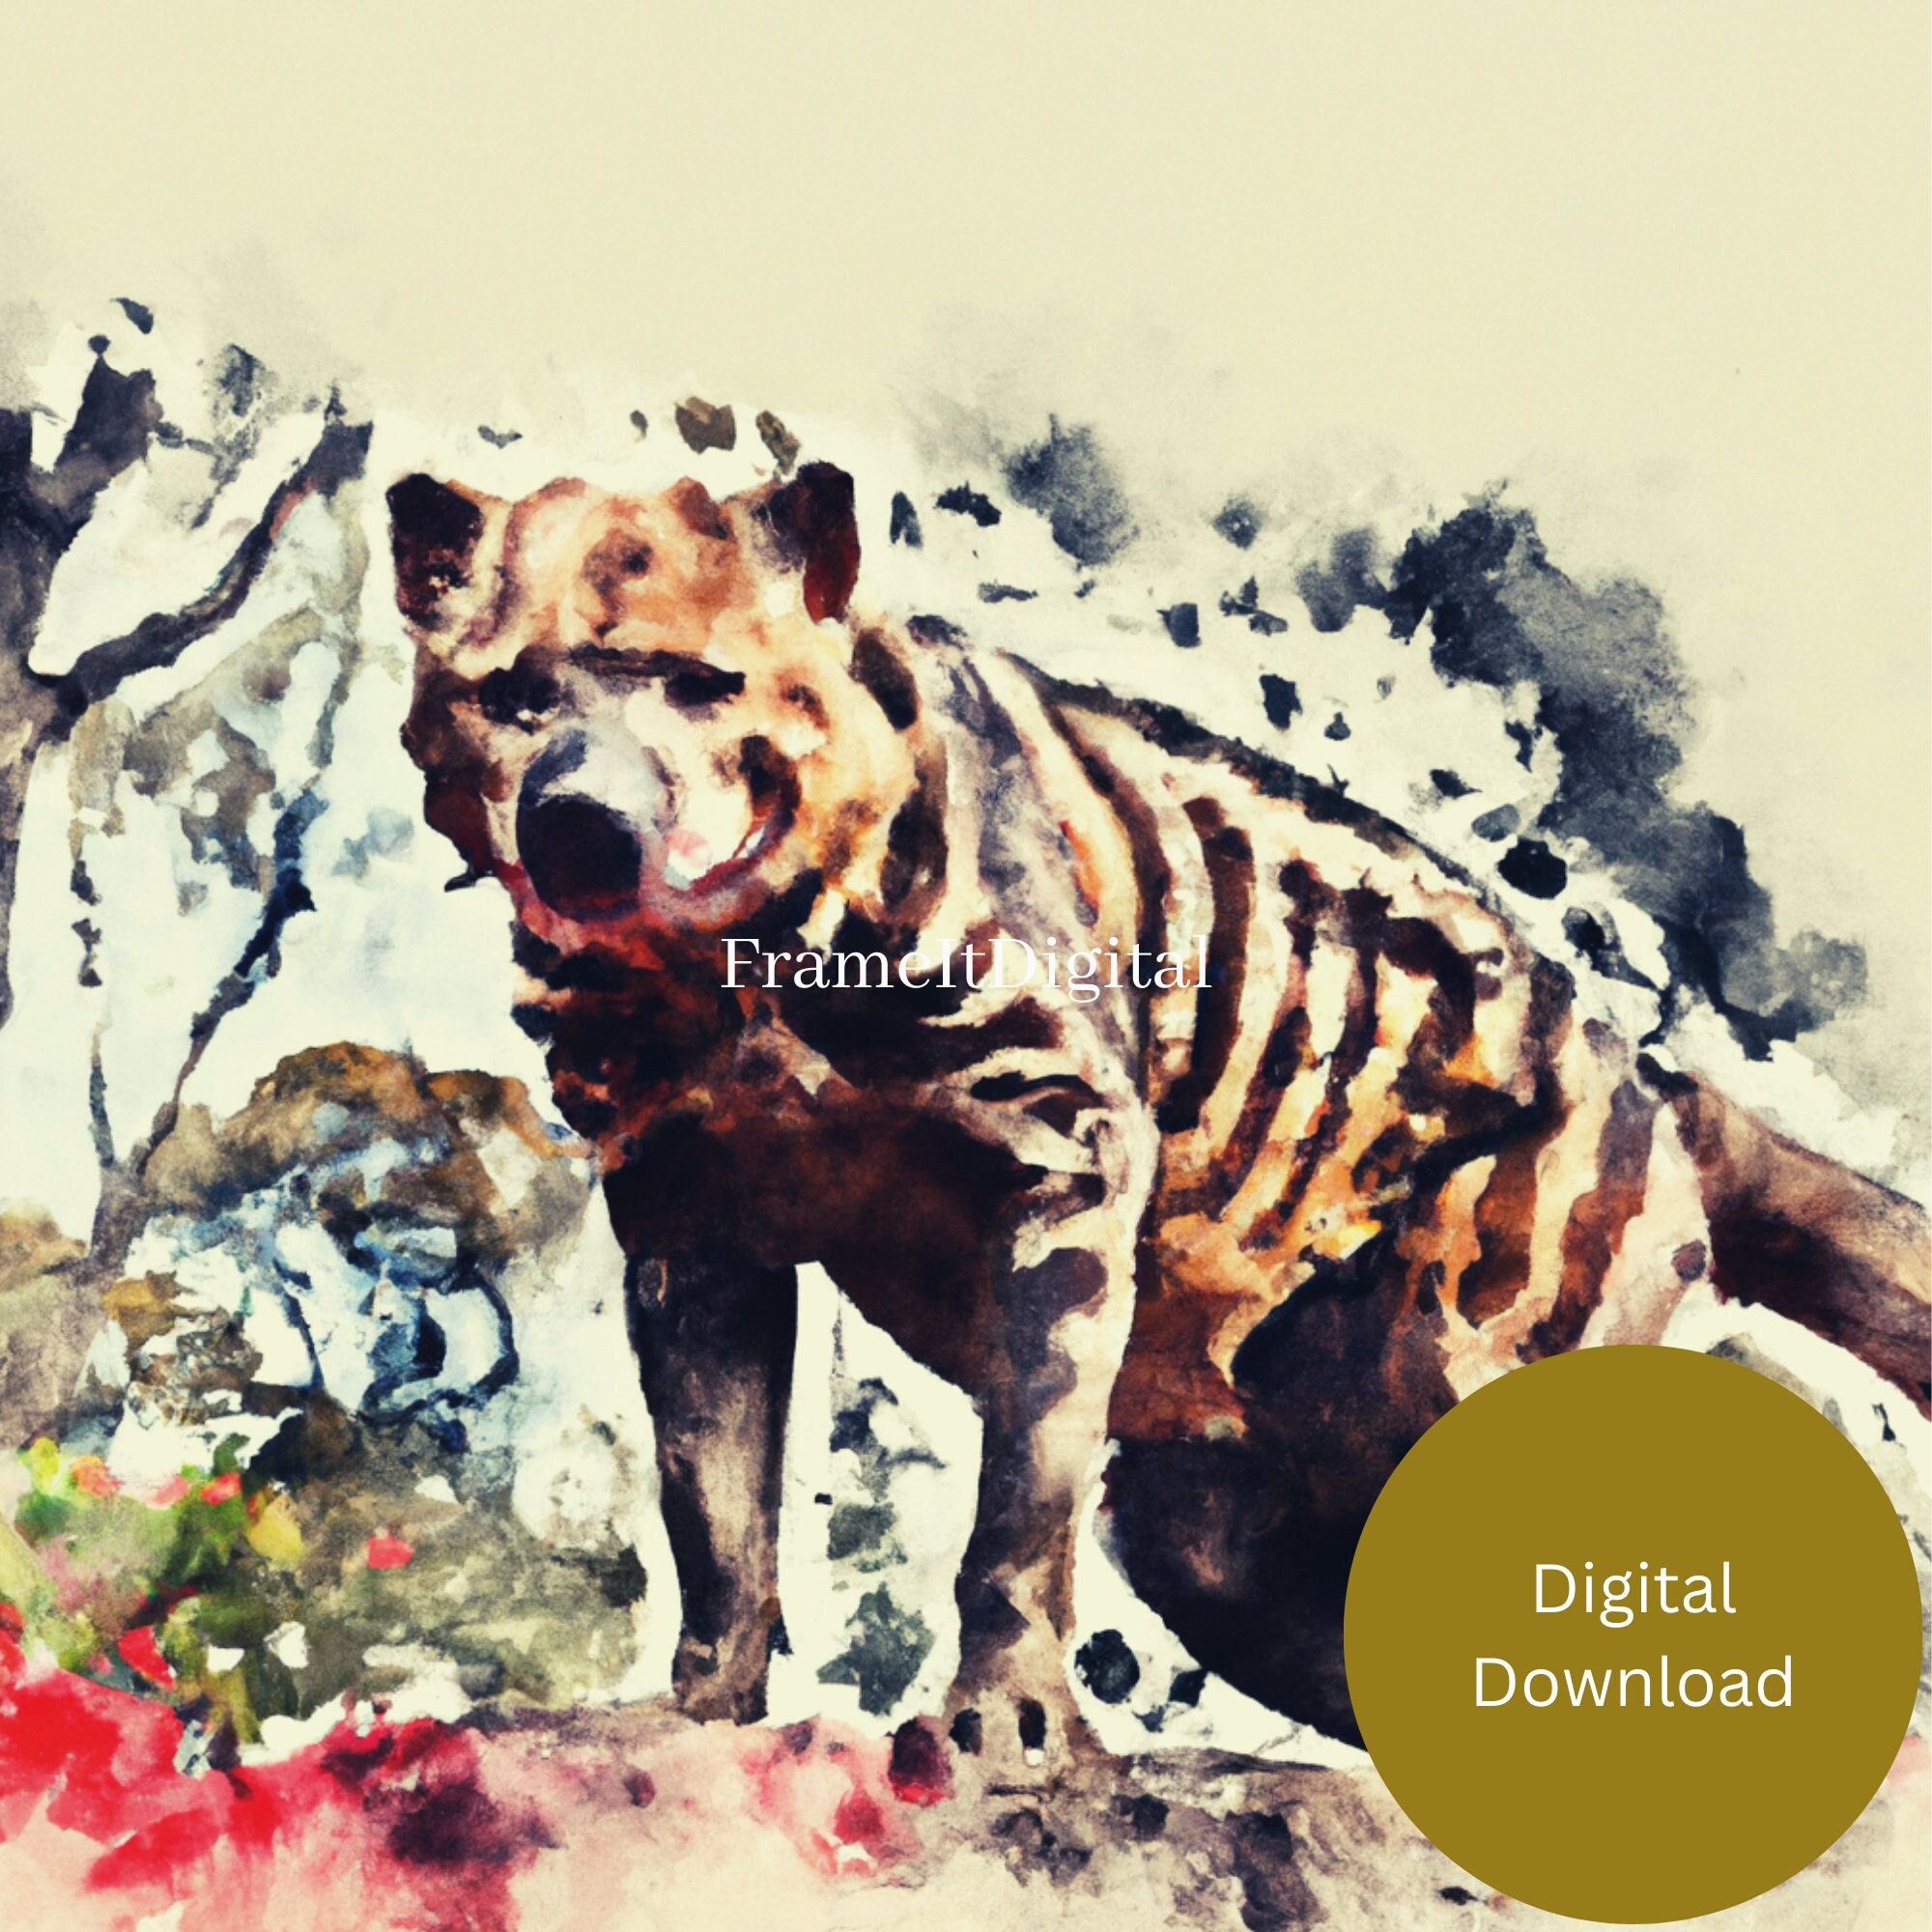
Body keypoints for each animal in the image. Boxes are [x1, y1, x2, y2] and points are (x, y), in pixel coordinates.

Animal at [387, 458, 1930, 1774]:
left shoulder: (1059, 1159)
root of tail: (1656, 1078)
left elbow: (1016, 1508)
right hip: (1211, 1530)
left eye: (706, 685)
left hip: (1466, 1388)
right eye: (515, 693)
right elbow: (717, 1512)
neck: (735, 977)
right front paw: (696, 1714)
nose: (582, 820)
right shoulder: (693, 1225)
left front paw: (1003, 1727)